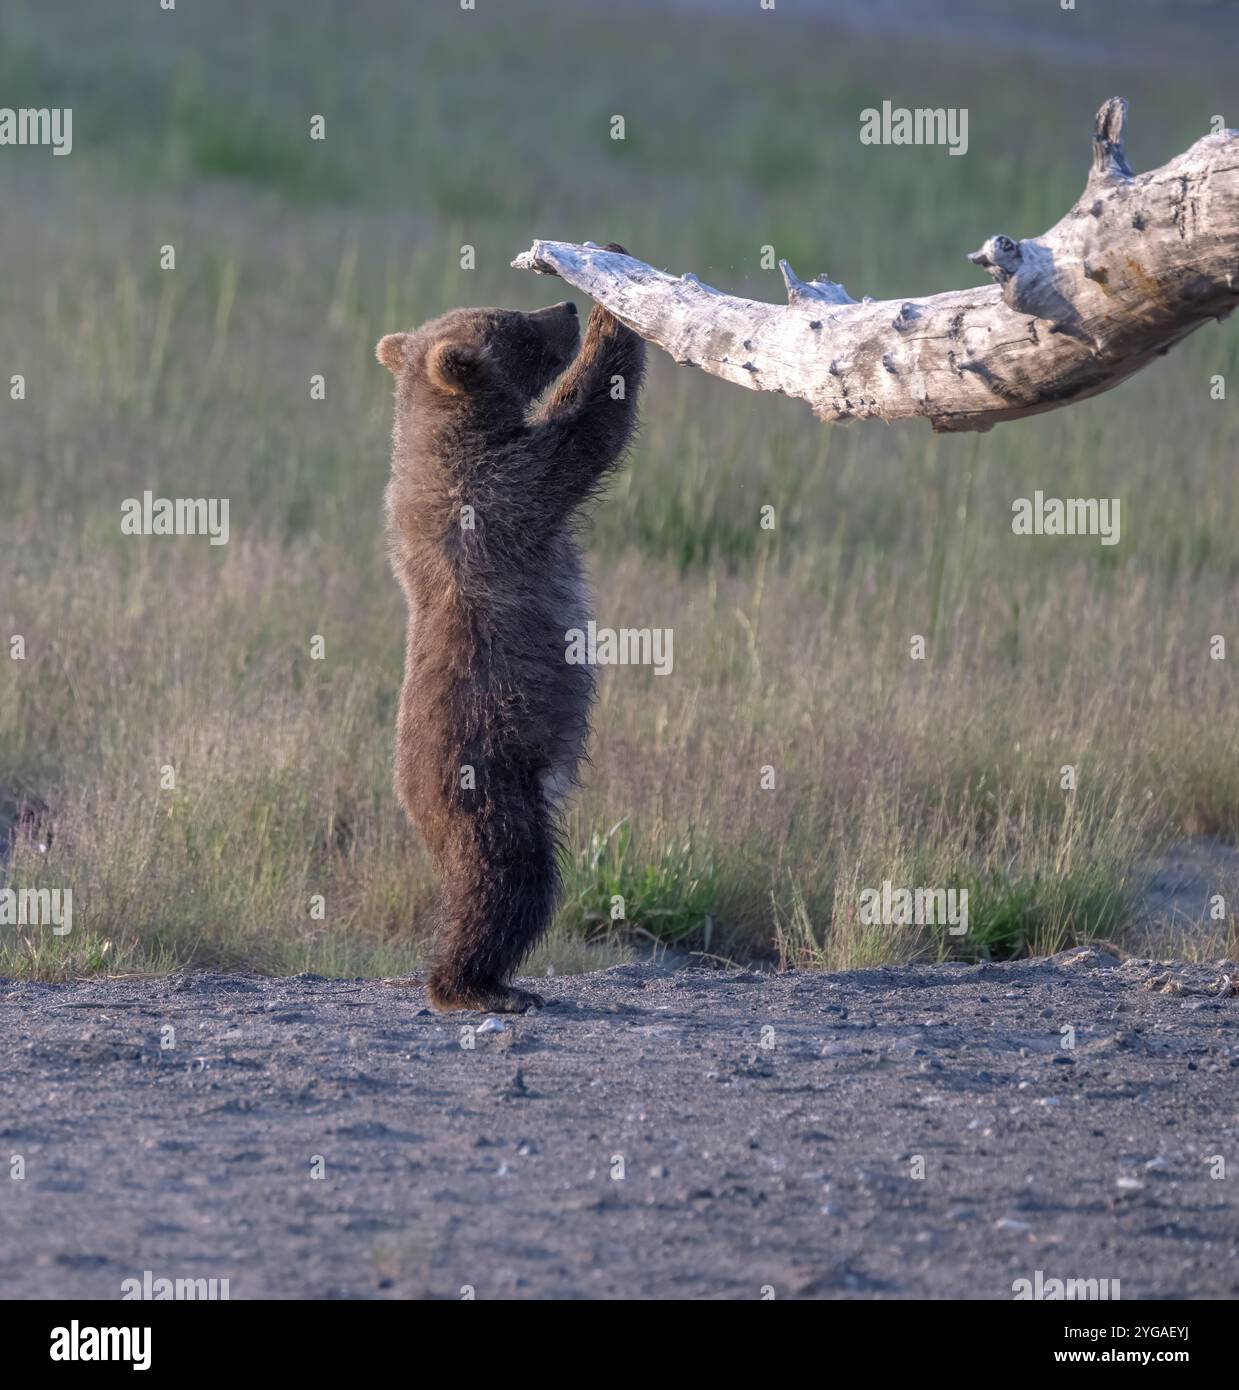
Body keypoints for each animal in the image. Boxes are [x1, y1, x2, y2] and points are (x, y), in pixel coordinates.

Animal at [377, 253, 645, 1013]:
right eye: (513, 323)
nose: (561, 307)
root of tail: (409, 796)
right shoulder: (501, 493)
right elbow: (587, 428)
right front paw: (613, 312)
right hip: (486, 771)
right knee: (507, 878)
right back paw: (472, 984)